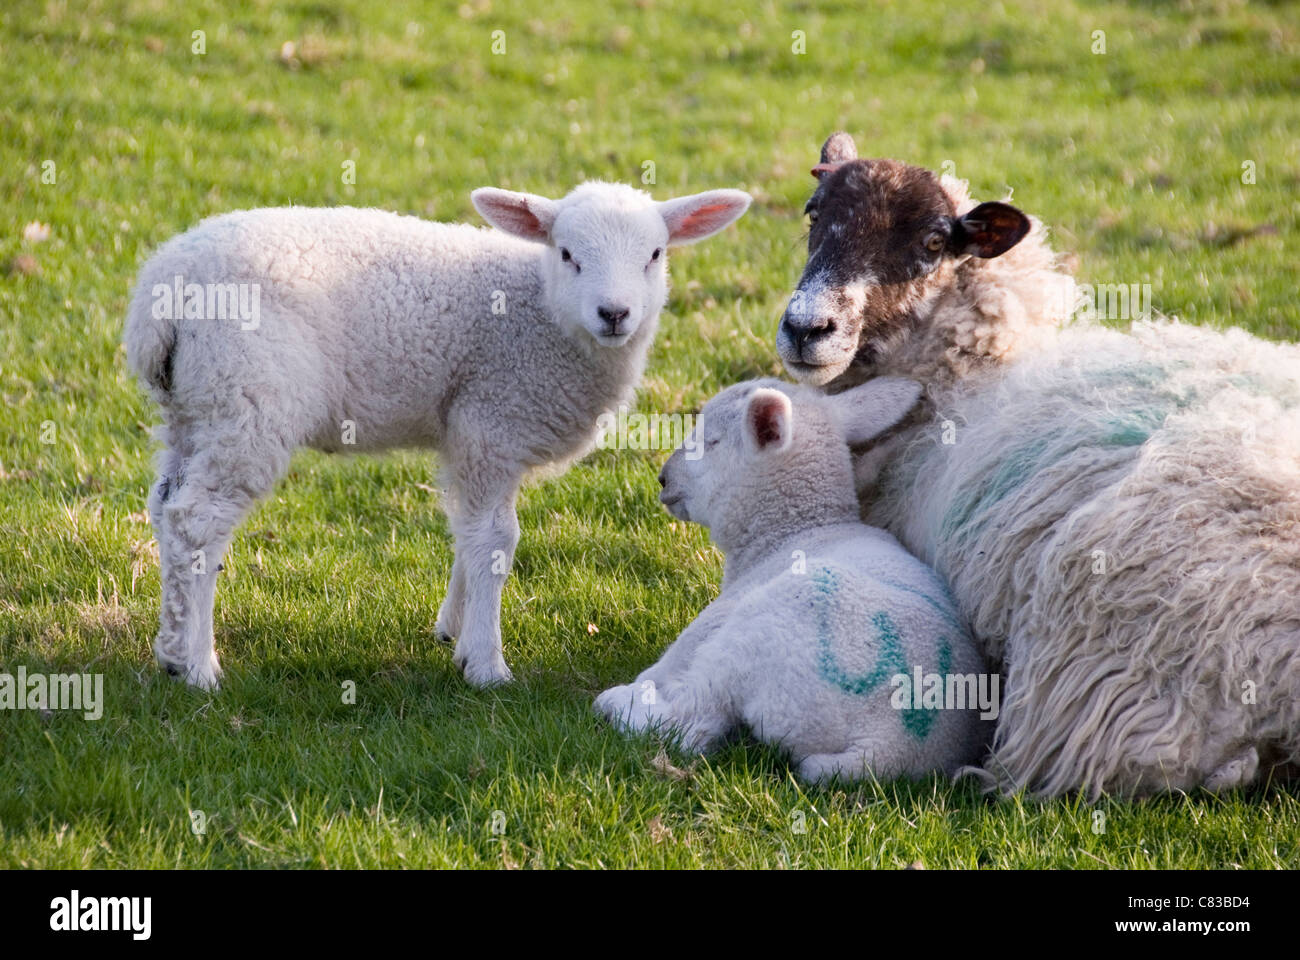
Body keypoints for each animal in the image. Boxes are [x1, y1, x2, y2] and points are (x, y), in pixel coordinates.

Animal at [124, 182, 752, 690]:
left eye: (655, 254)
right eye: (567, 254)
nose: (615, 313)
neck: (539, 314)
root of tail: (160, 298)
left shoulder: (469, 434)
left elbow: (466, 532)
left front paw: (453, 629)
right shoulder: (490, 420)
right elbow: (496, 541)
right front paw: (486, 664)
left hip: (194, 408)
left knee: (165, 509)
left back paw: (169, 647)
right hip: (247, 401)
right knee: (198, 522)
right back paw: (197, 666)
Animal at [594, 377, 991, 783]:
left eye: (713, 441)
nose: (663, 479)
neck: (795, 531)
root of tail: (887, 750)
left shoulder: (710, 627)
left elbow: (661, 673)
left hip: (762, 636)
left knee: (692, 725)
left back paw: (617, 703)